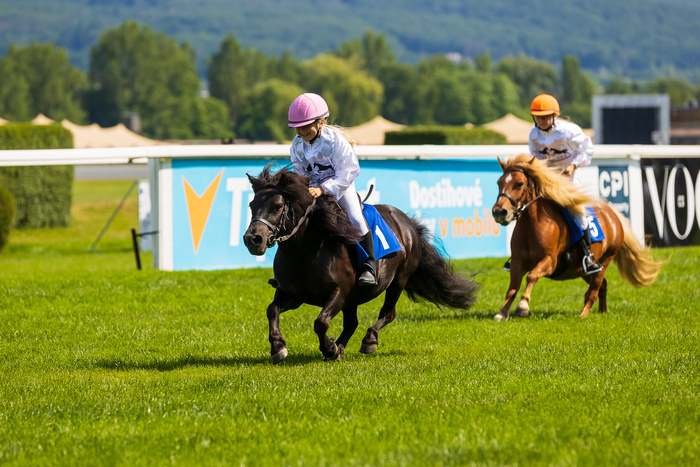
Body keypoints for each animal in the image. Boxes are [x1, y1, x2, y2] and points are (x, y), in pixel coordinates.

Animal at [243, 164, 480, 363]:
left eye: (277, 206)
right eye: (251, 205)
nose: (253, 239)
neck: (306, 253)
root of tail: (408, 222)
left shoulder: (339, 292)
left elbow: (321, 322)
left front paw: (328, 347)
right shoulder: (293, 294)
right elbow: (272, 310)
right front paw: (278, 347)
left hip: (398, 280)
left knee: (387, 314)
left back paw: (368, 341)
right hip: (355, 296)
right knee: (352, 323)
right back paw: (340, 347)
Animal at [491, 154, 664, 321]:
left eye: (519, 184)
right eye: (499, 182)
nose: (499, 212)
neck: (532, 227)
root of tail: (614, 215)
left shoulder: (550, 261)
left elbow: (532, 276)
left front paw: (523, 305)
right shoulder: (517, 262)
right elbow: (512, 288)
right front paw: (502, 313)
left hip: (604, 262)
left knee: (593, 291)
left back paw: (583, 315)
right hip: (582, 270)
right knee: (603, 285)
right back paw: (602, 311)